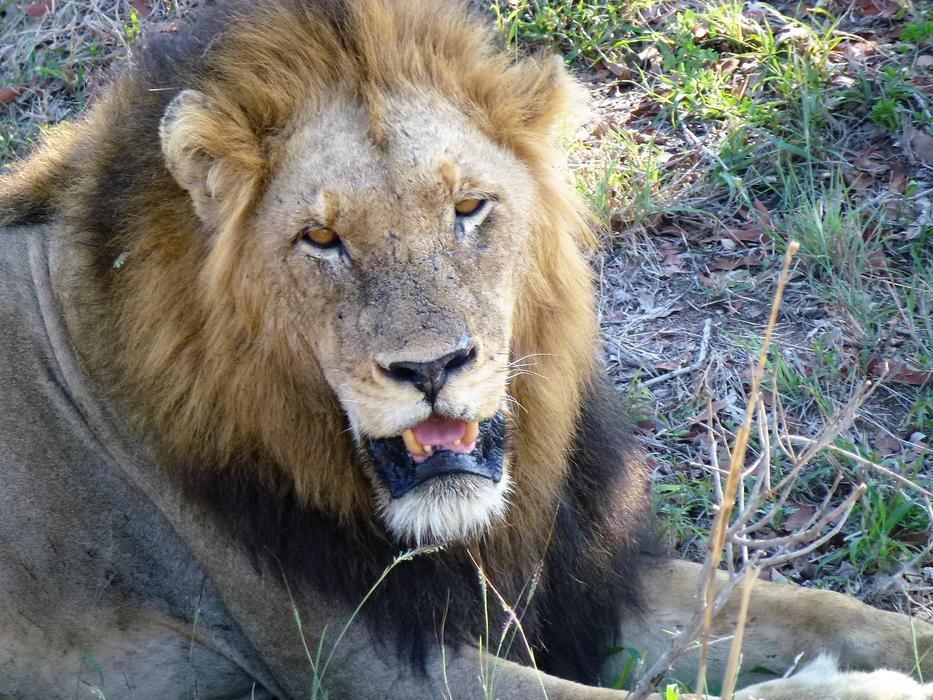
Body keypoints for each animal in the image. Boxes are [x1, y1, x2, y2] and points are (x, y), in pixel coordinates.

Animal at [0, 1, 929, 698]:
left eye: (468, 208)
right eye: (321, 238)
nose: (430, 369)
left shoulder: (581, 577)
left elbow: (816, 610)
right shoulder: (357, 659)